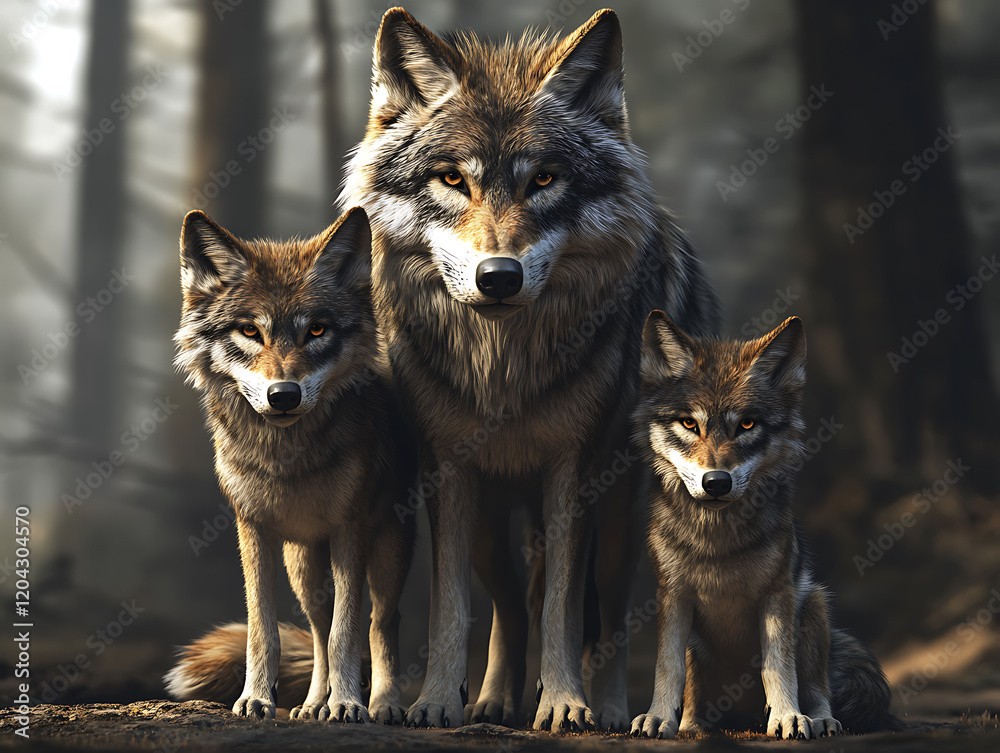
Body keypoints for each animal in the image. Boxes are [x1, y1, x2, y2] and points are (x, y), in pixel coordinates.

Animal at [164, 208, 415, 724]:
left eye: (316, 331)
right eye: (249, 331)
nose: (283, 395)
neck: (287, 459)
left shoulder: (350, 532)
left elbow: (347, 632)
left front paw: (348, 705)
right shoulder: (253, 530)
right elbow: (264, 631)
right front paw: (256, 700)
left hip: (387, 550)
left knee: (380, 622)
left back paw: (381, 704)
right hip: (303, 567)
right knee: (318, 628)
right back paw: (313, 703)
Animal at [340, 7, 719, 731]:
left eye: (542, 180)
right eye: (452, 179)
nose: (499, 276)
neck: (503, 374)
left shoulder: (574, 473)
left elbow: (564, 610)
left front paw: (565, 702)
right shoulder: (447, 472)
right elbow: (455, 606)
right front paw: (436, 699)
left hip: (618, 518)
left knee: (597, 611)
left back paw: (605, 709)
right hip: (493, 522)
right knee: (511, 607)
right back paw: (492, 700)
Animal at [630, 312, 893, 739]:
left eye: (747, 425)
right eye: (689, 423)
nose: (715, 482)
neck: (717, 541)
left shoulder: (777, 596)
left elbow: (778, 667)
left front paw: (788, 717)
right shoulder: (673, 596)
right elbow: (668, 667)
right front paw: (659, 718)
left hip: (814, 605)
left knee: (818, 687)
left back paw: (820, 720)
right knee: (695, 690)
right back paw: (691, 725)